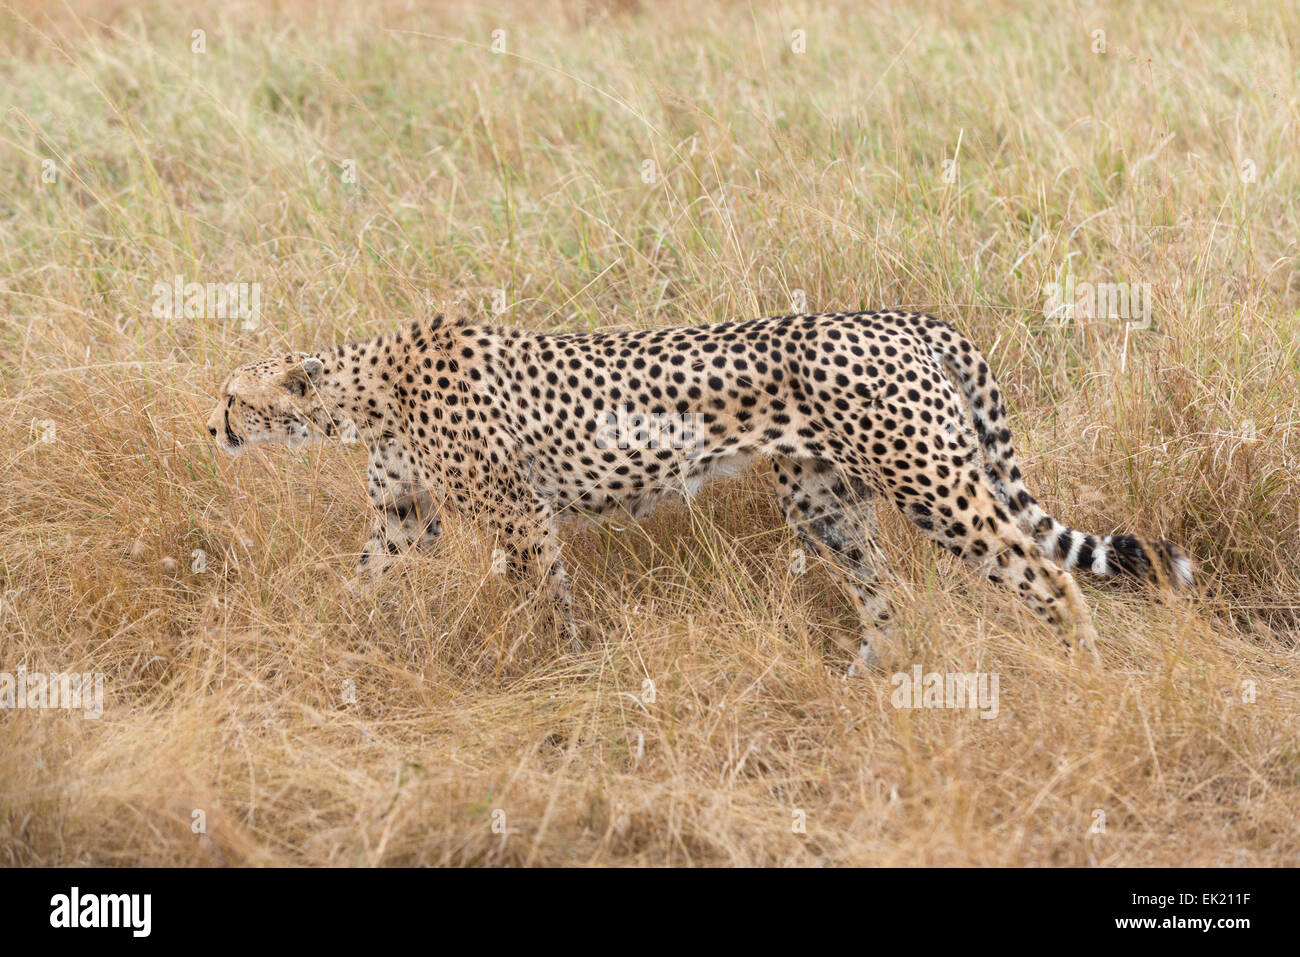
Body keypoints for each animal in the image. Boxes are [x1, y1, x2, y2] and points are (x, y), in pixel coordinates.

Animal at [205, 310, 1195, 668]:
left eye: (231, 398)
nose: (209, 427)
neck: (367, 388)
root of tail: (900, 316)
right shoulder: (405, 519)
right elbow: (360, 577)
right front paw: (321, 633)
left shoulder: (520, 516)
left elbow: (540, 600)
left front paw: (557, 666)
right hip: (823, 503)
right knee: (882, 596)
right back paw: (865, 676)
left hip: (931, 483)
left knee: (1045, 572)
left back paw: (1083, 672)